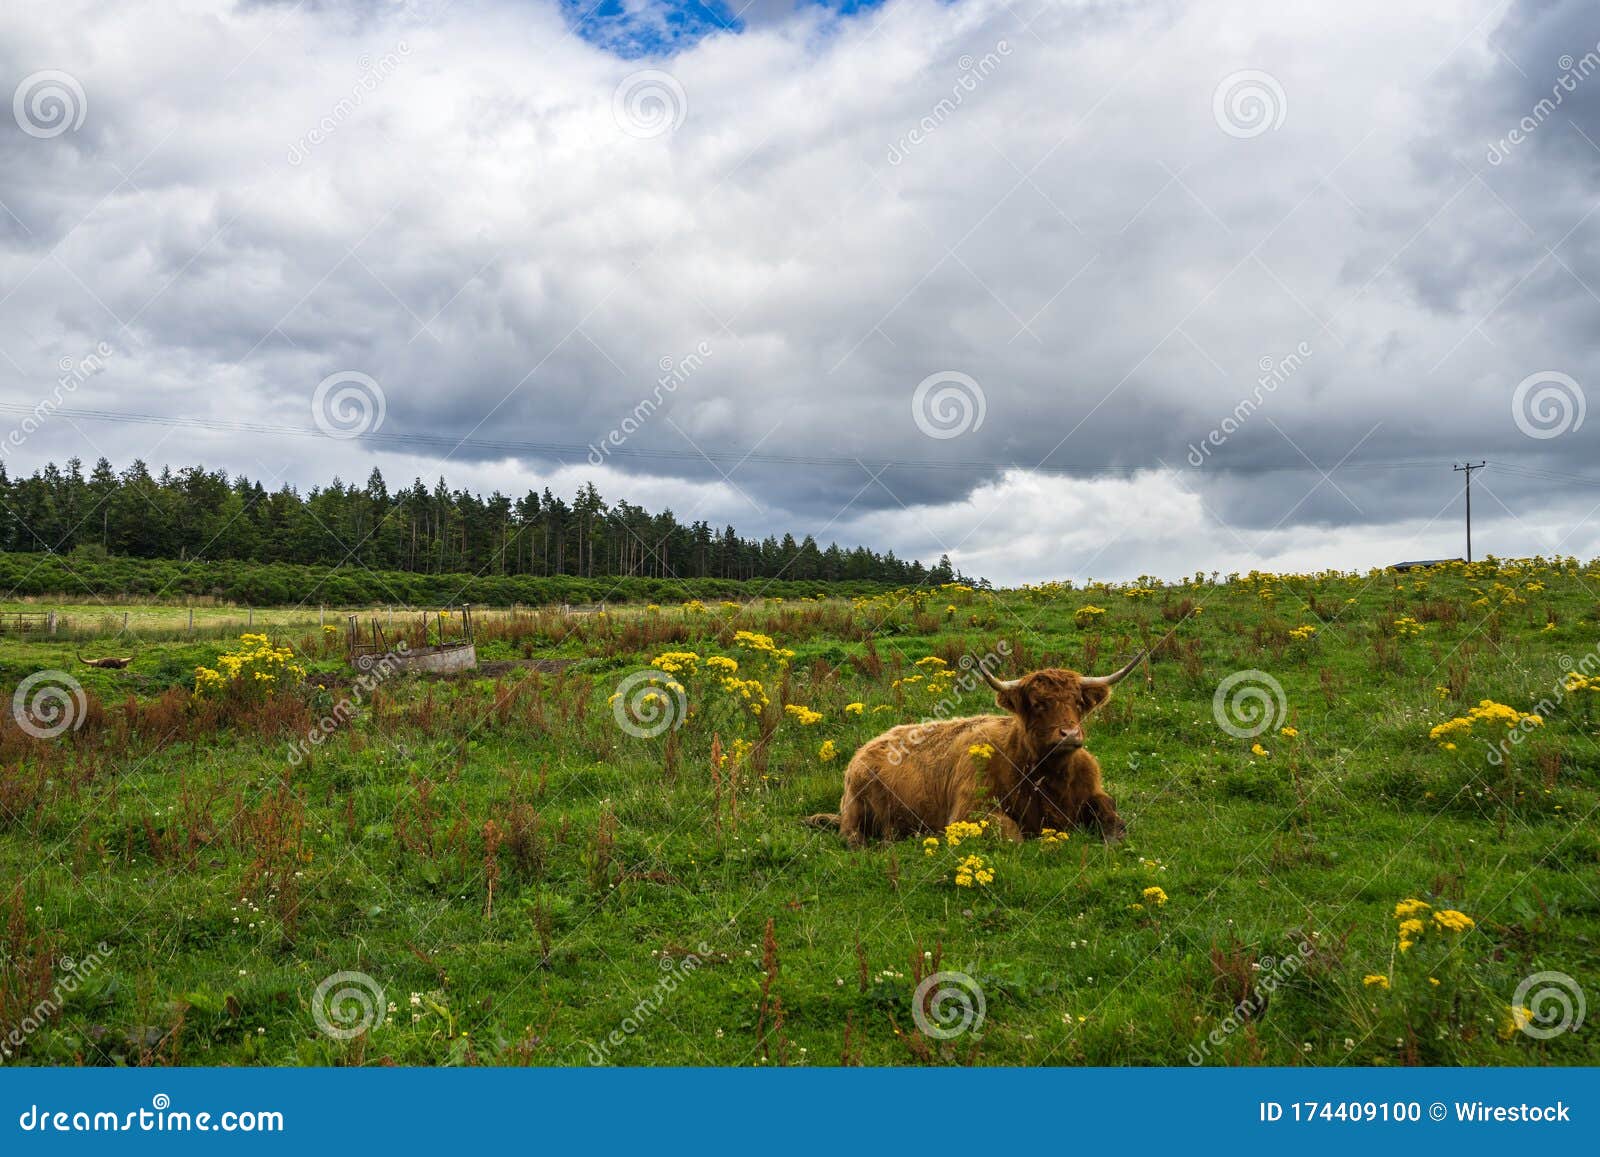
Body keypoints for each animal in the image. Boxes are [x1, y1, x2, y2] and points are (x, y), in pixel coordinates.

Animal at [807, 652, 1143, 847]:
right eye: (1038, 703)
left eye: (1077, 702)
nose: (1070, 734)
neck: (1050, 779)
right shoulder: (968, 812)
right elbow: (1012, 835)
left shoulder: (1092, 791)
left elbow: (1111, 813)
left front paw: (1113, 838)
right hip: (856, 809)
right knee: (851, 837)